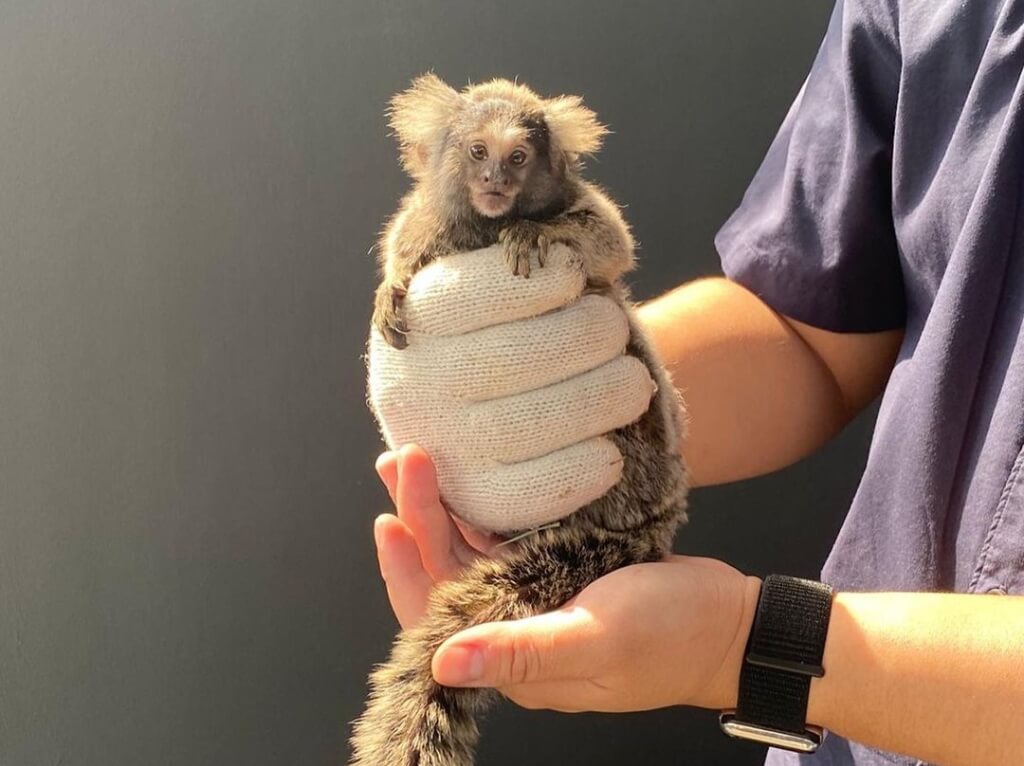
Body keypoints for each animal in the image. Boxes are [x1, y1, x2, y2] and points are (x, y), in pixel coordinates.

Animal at [354, 74, 688, 766]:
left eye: (518, 157)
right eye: (478, 152)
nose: (495, 183)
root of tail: (653, 521)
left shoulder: (584, 212)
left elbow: (607, 243)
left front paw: (533, 231)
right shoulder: (427, 224)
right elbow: (402, 256)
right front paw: (391, 289)